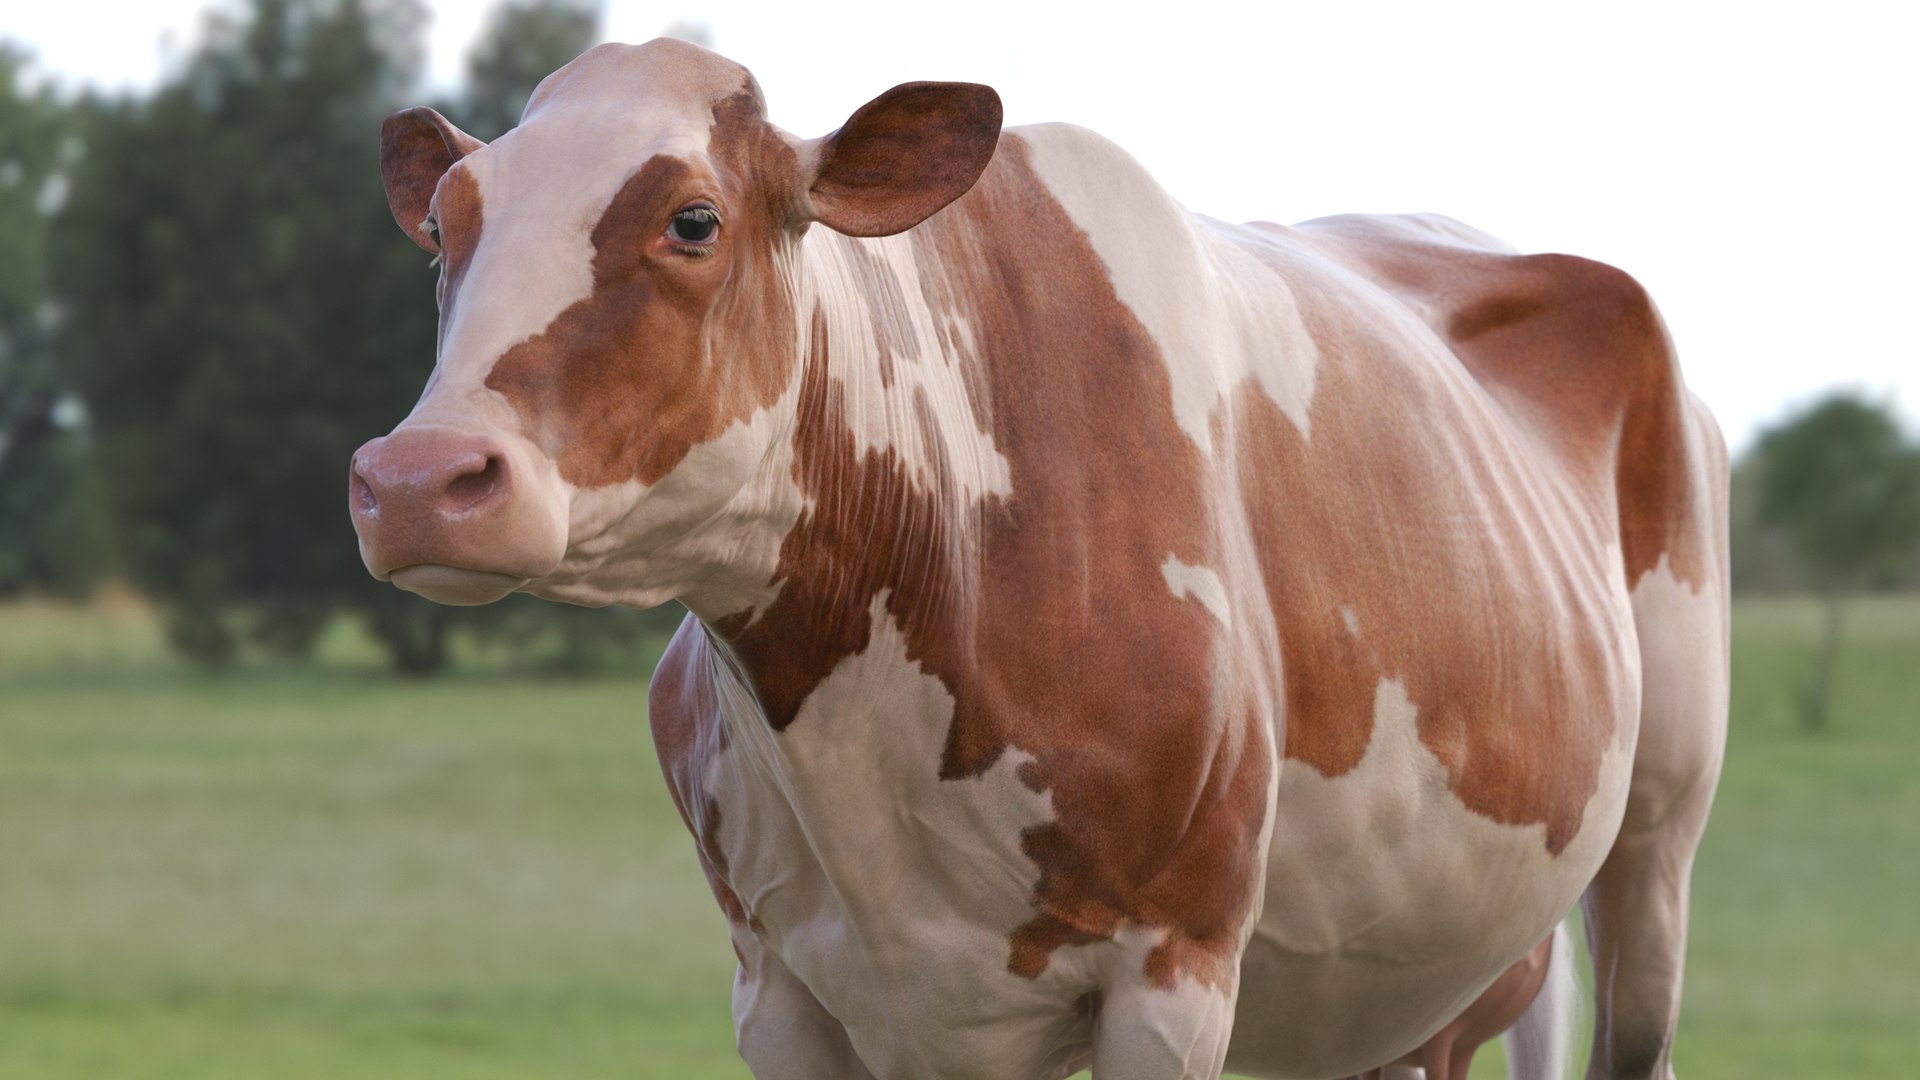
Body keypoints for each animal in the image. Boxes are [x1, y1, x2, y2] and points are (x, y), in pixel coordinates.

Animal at [349, 38, 1728, 1080]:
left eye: (694, 218)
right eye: (444, 234)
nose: (419, 479)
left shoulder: (1176, 967)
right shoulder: (787, 986)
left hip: (1653, 846)